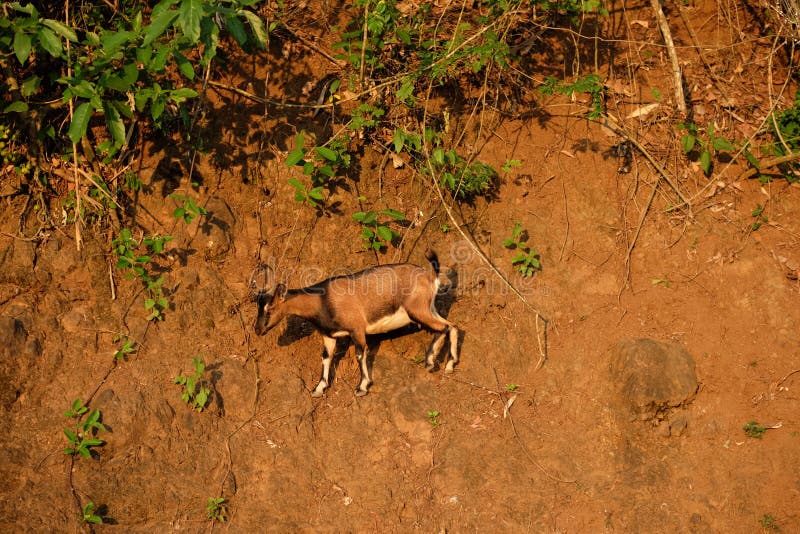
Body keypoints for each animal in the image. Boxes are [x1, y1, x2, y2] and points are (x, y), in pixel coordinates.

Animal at [254, 250, 459, 397]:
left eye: (270, 309)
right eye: (258, 307)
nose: (257, 330)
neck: (324, 301)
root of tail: (430, 276)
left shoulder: (357, 330)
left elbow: (360, 354)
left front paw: (362, 387)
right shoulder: (329, 336)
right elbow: (326, 357)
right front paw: (318, 389)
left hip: (417, 311)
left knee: (444, 328)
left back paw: (431, 362)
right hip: (428, 309)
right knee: (452, 326)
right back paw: (448, 364)